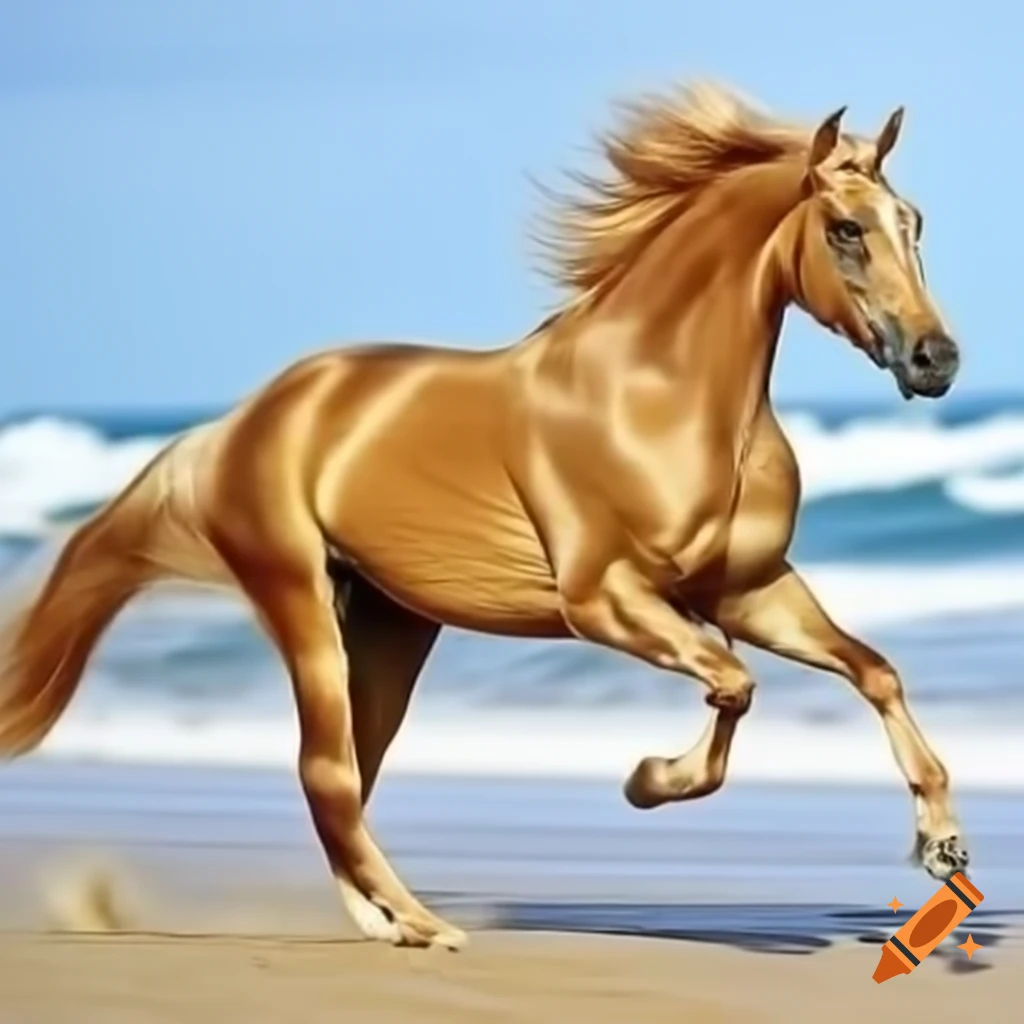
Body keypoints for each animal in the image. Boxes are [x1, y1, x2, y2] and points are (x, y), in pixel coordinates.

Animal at [0, 82, 966, 950]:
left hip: (390, 623)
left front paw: (942, 843)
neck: (661, 398)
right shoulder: (604, 600)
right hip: (297, 594)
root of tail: (243, 420)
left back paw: (383, 921)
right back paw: (427, 926)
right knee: (329, 773)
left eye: (913, 223)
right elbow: (734, 683)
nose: (937, 360)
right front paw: (649, 779)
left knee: (351, 770)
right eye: (845, 230)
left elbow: (872, 671)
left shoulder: (748, 589)